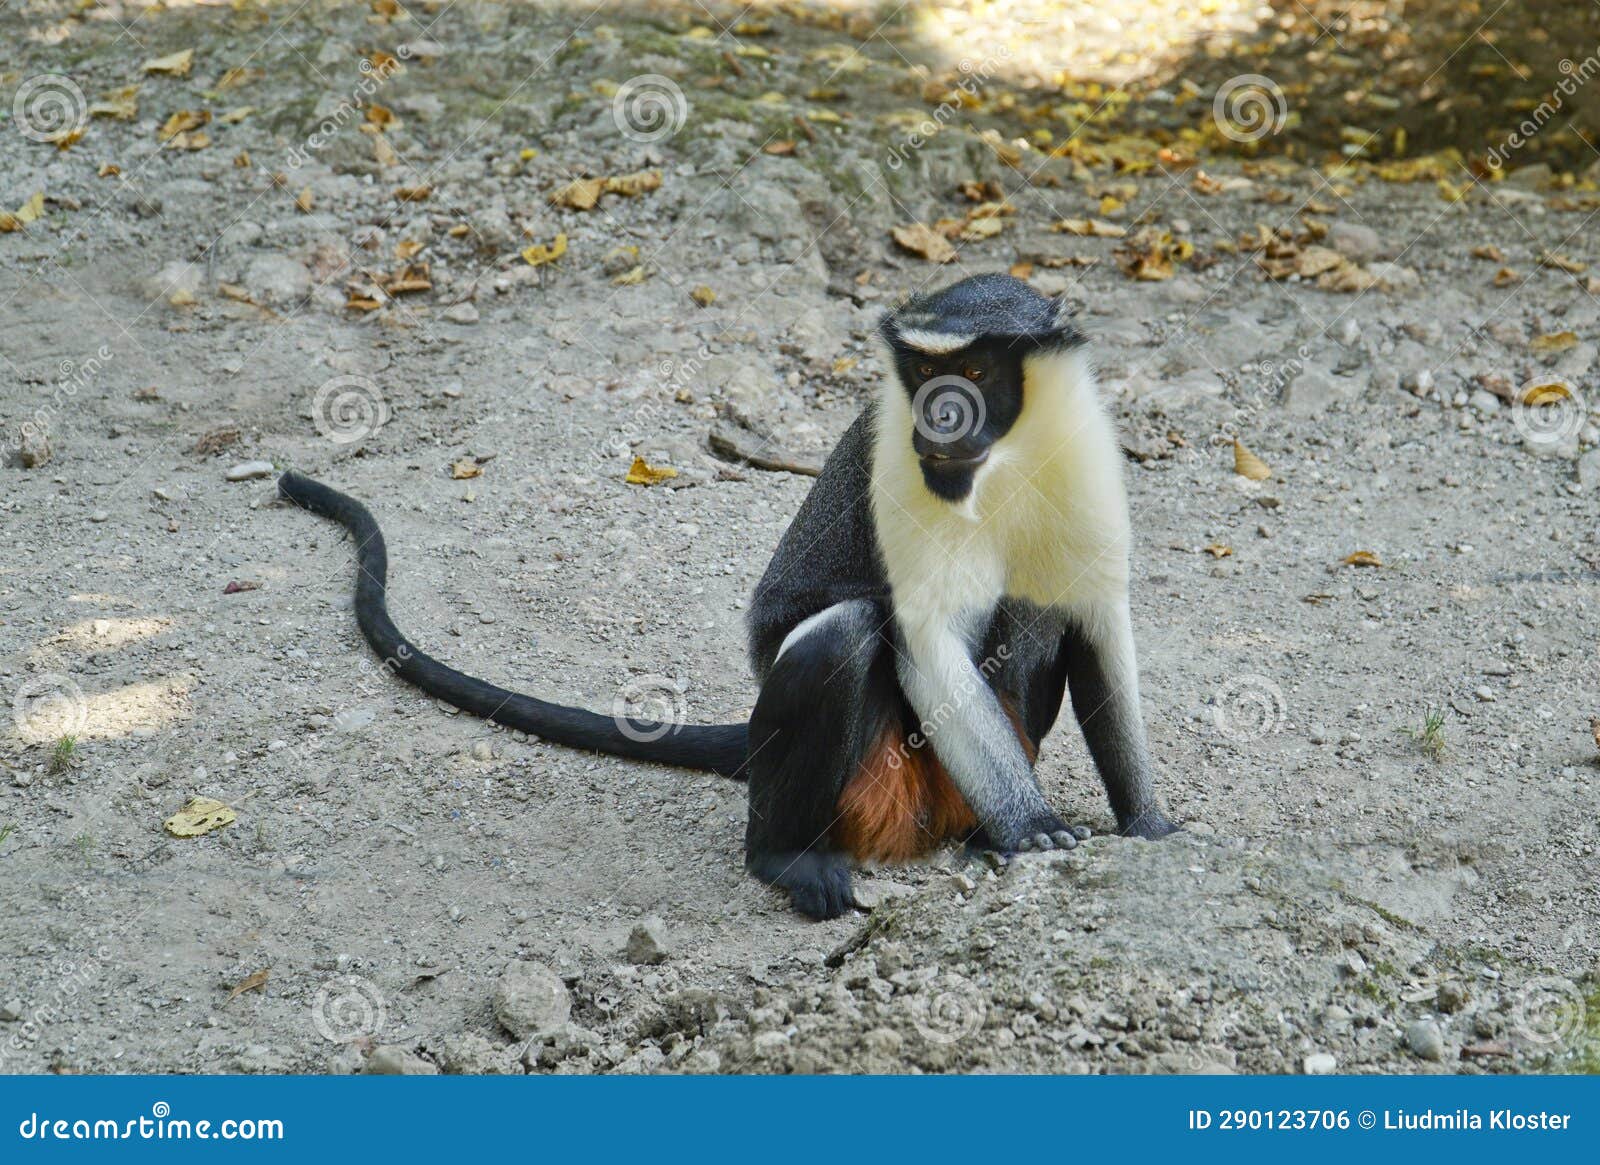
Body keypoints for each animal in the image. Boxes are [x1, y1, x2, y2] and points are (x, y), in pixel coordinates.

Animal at [279, 272, 1178, 921]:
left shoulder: (1083, 446)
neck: (1007, 460)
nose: (939, 421)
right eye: (924, 372)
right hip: (869, 784)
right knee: (843, 634)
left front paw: (1148, 822)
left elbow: (1098, 620)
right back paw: (786, 855)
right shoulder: (899, 458)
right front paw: (1032, 827)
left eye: (975, 372)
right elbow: (927, 638)